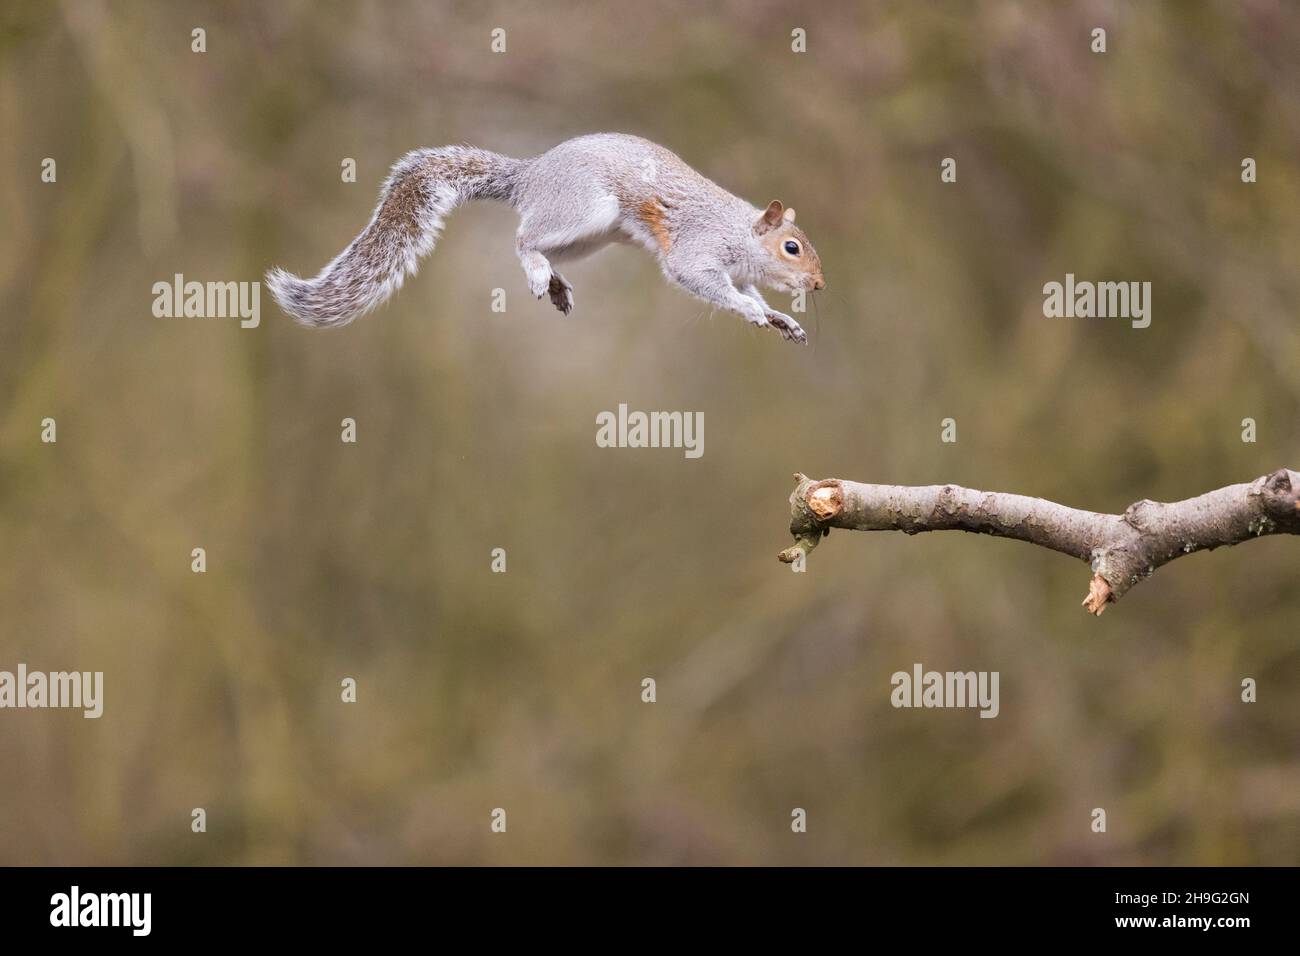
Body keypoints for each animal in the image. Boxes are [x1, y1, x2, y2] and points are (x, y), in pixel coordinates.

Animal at [266, 133, 824, 343]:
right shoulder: (698, 247)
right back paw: (538, 272)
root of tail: (531, 176)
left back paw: (555, 283)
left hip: (590, 237)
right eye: (792, 247)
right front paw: (753, 310)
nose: (819, 285)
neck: (740, 233)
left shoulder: (737, 270)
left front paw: (779, 318)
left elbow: (749, 294)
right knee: (522, 240)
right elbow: (705, 282)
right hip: (584, 208)